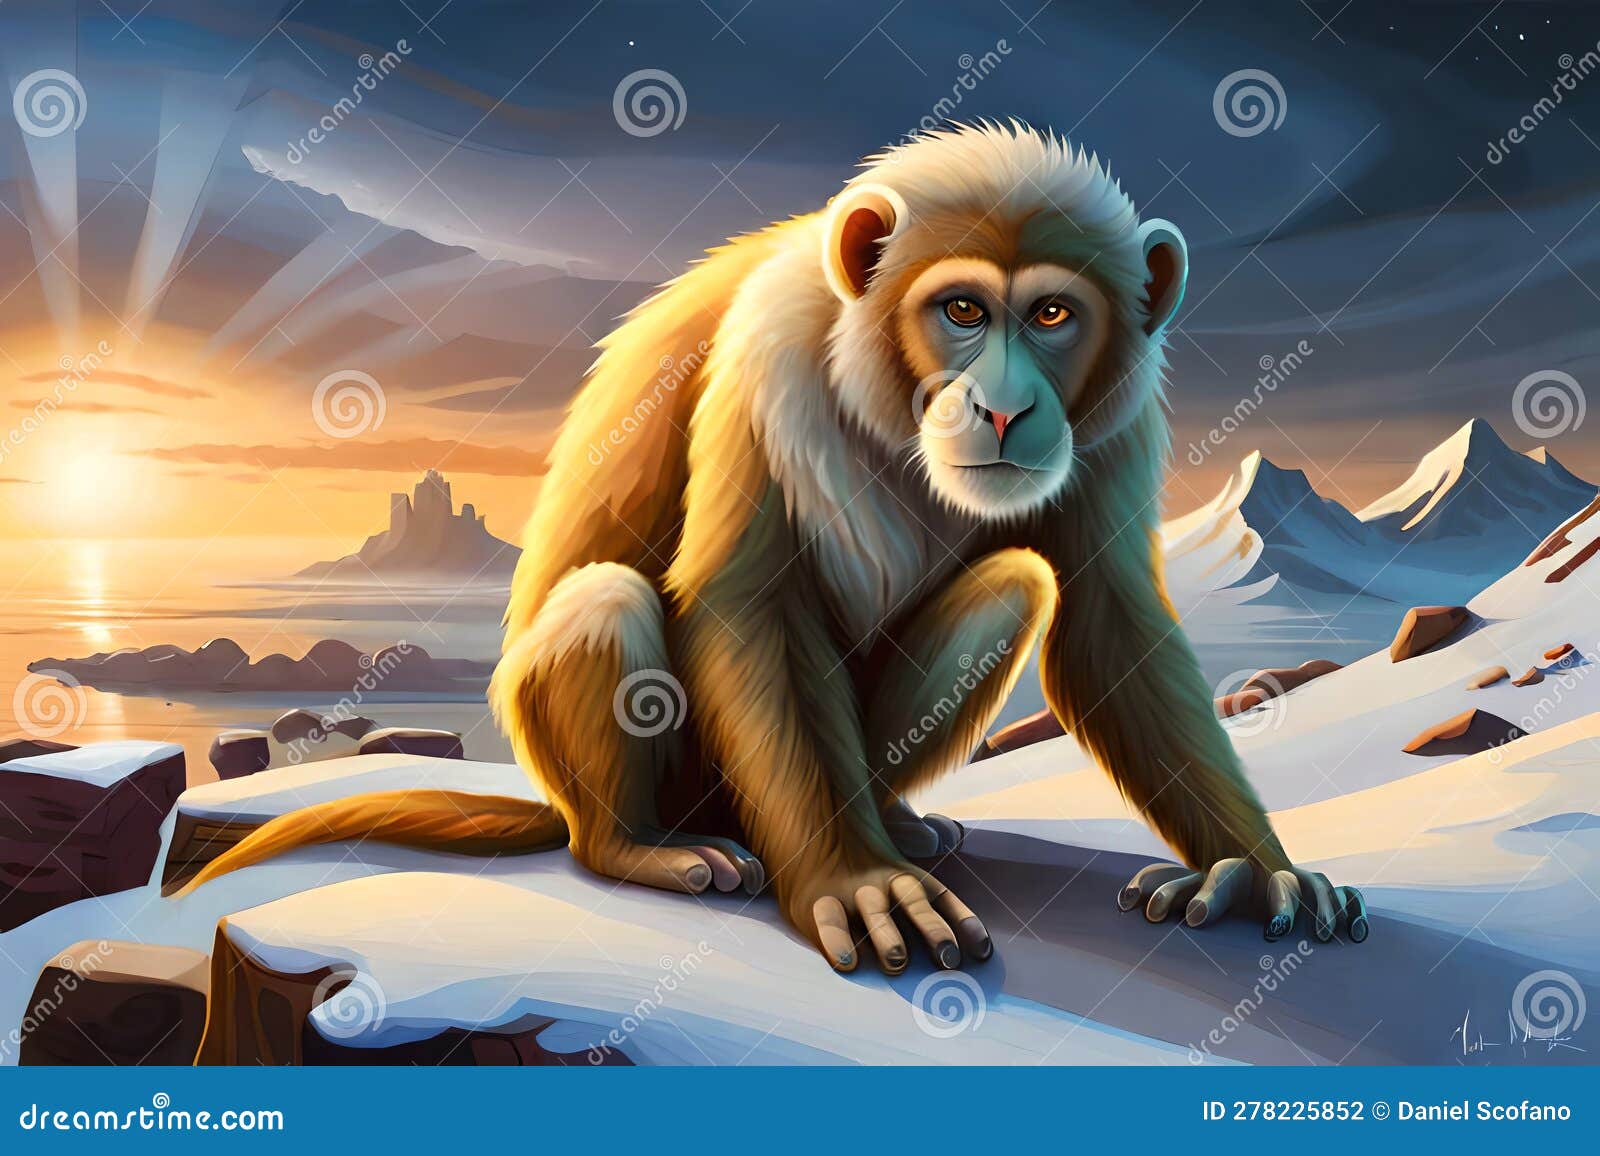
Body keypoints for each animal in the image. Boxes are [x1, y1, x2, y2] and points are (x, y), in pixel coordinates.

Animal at [182, 122, 1368, 974]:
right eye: (962, 311)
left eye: (1052, 317)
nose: (1004, 406)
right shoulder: (774, 355)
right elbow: (746, 603)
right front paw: (851, 879)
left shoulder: (1116, 419)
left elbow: (1106, 619)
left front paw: (1246, 866)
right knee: (609, 604)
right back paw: (642, 848)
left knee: (1012, 584)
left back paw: (895, 817)